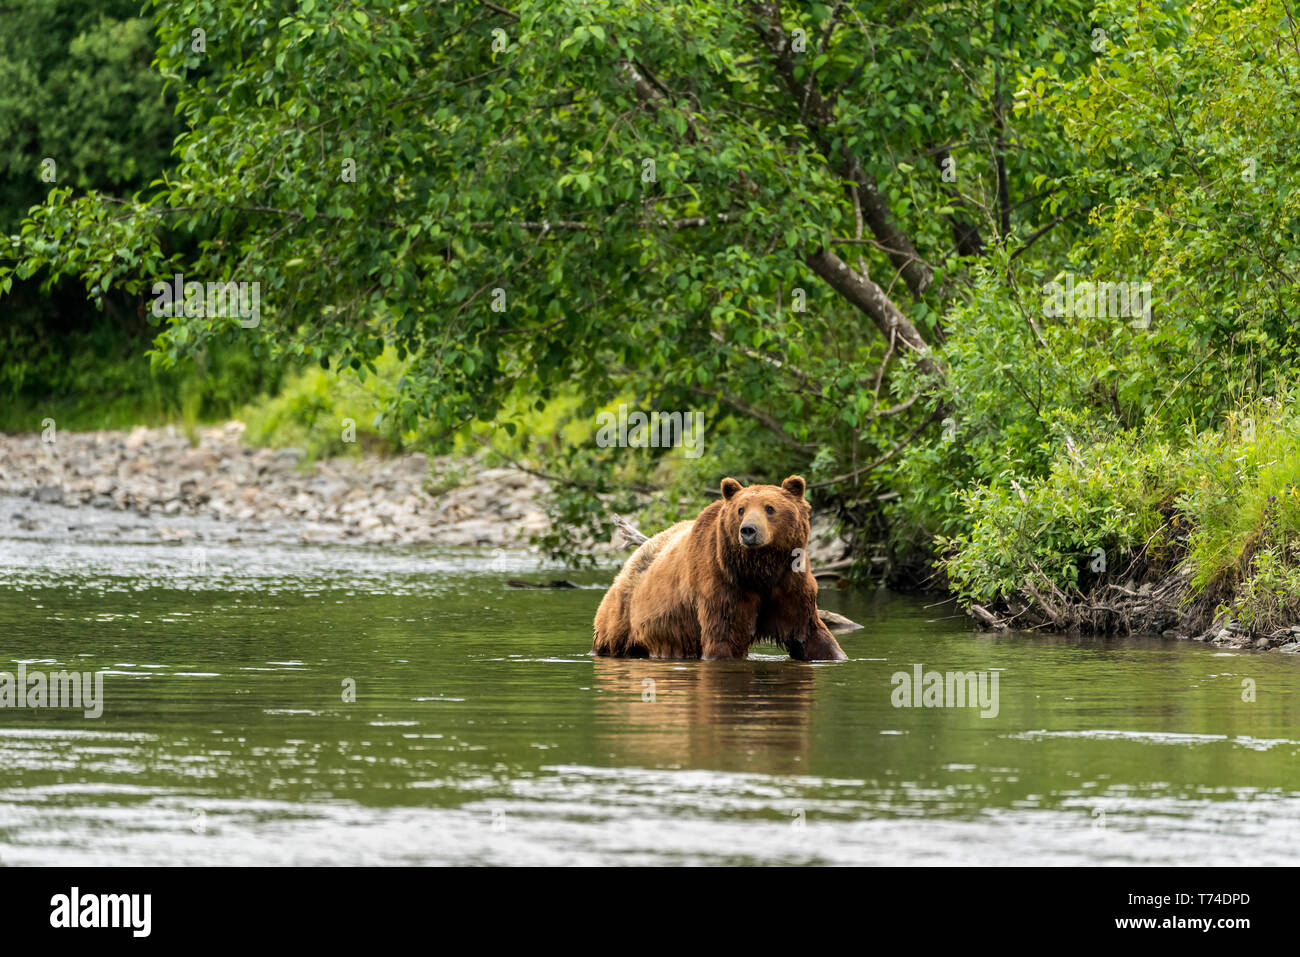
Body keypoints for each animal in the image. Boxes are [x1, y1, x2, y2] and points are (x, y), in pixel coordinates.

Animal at [591, 475, 848, 661]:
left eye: (770, 508)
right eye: (741, 509)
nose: (748, 530)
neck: (761, 569)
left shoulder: (790, 584)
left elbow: (810, 633)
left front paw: (836, 654)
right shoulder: (725, 585)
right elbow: (725, 637)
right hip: (624, 612)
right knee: (609, 637)